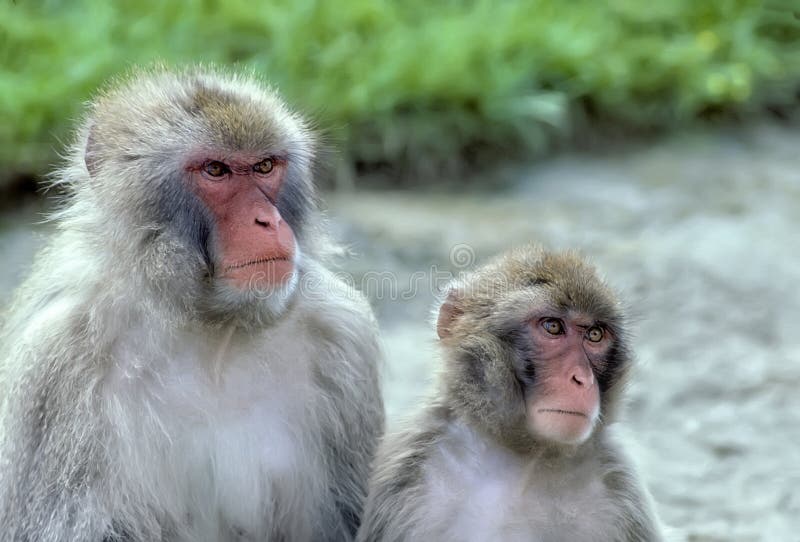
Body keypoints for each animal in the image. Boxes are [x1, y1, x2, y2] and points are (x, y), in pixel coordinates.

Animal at [0, 67, 384, 542]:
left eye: (265, 166)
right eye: (216, 170)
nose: (267, 221)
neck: (209, 322)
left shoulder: (342, 333)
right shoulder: (54, 366)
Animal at [356, 245, 663, 542]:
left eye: (595, 335)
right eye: (553, 326)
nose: (583, 380)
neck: (527, 457)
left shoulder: (621, 492)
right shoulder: (408, 476)